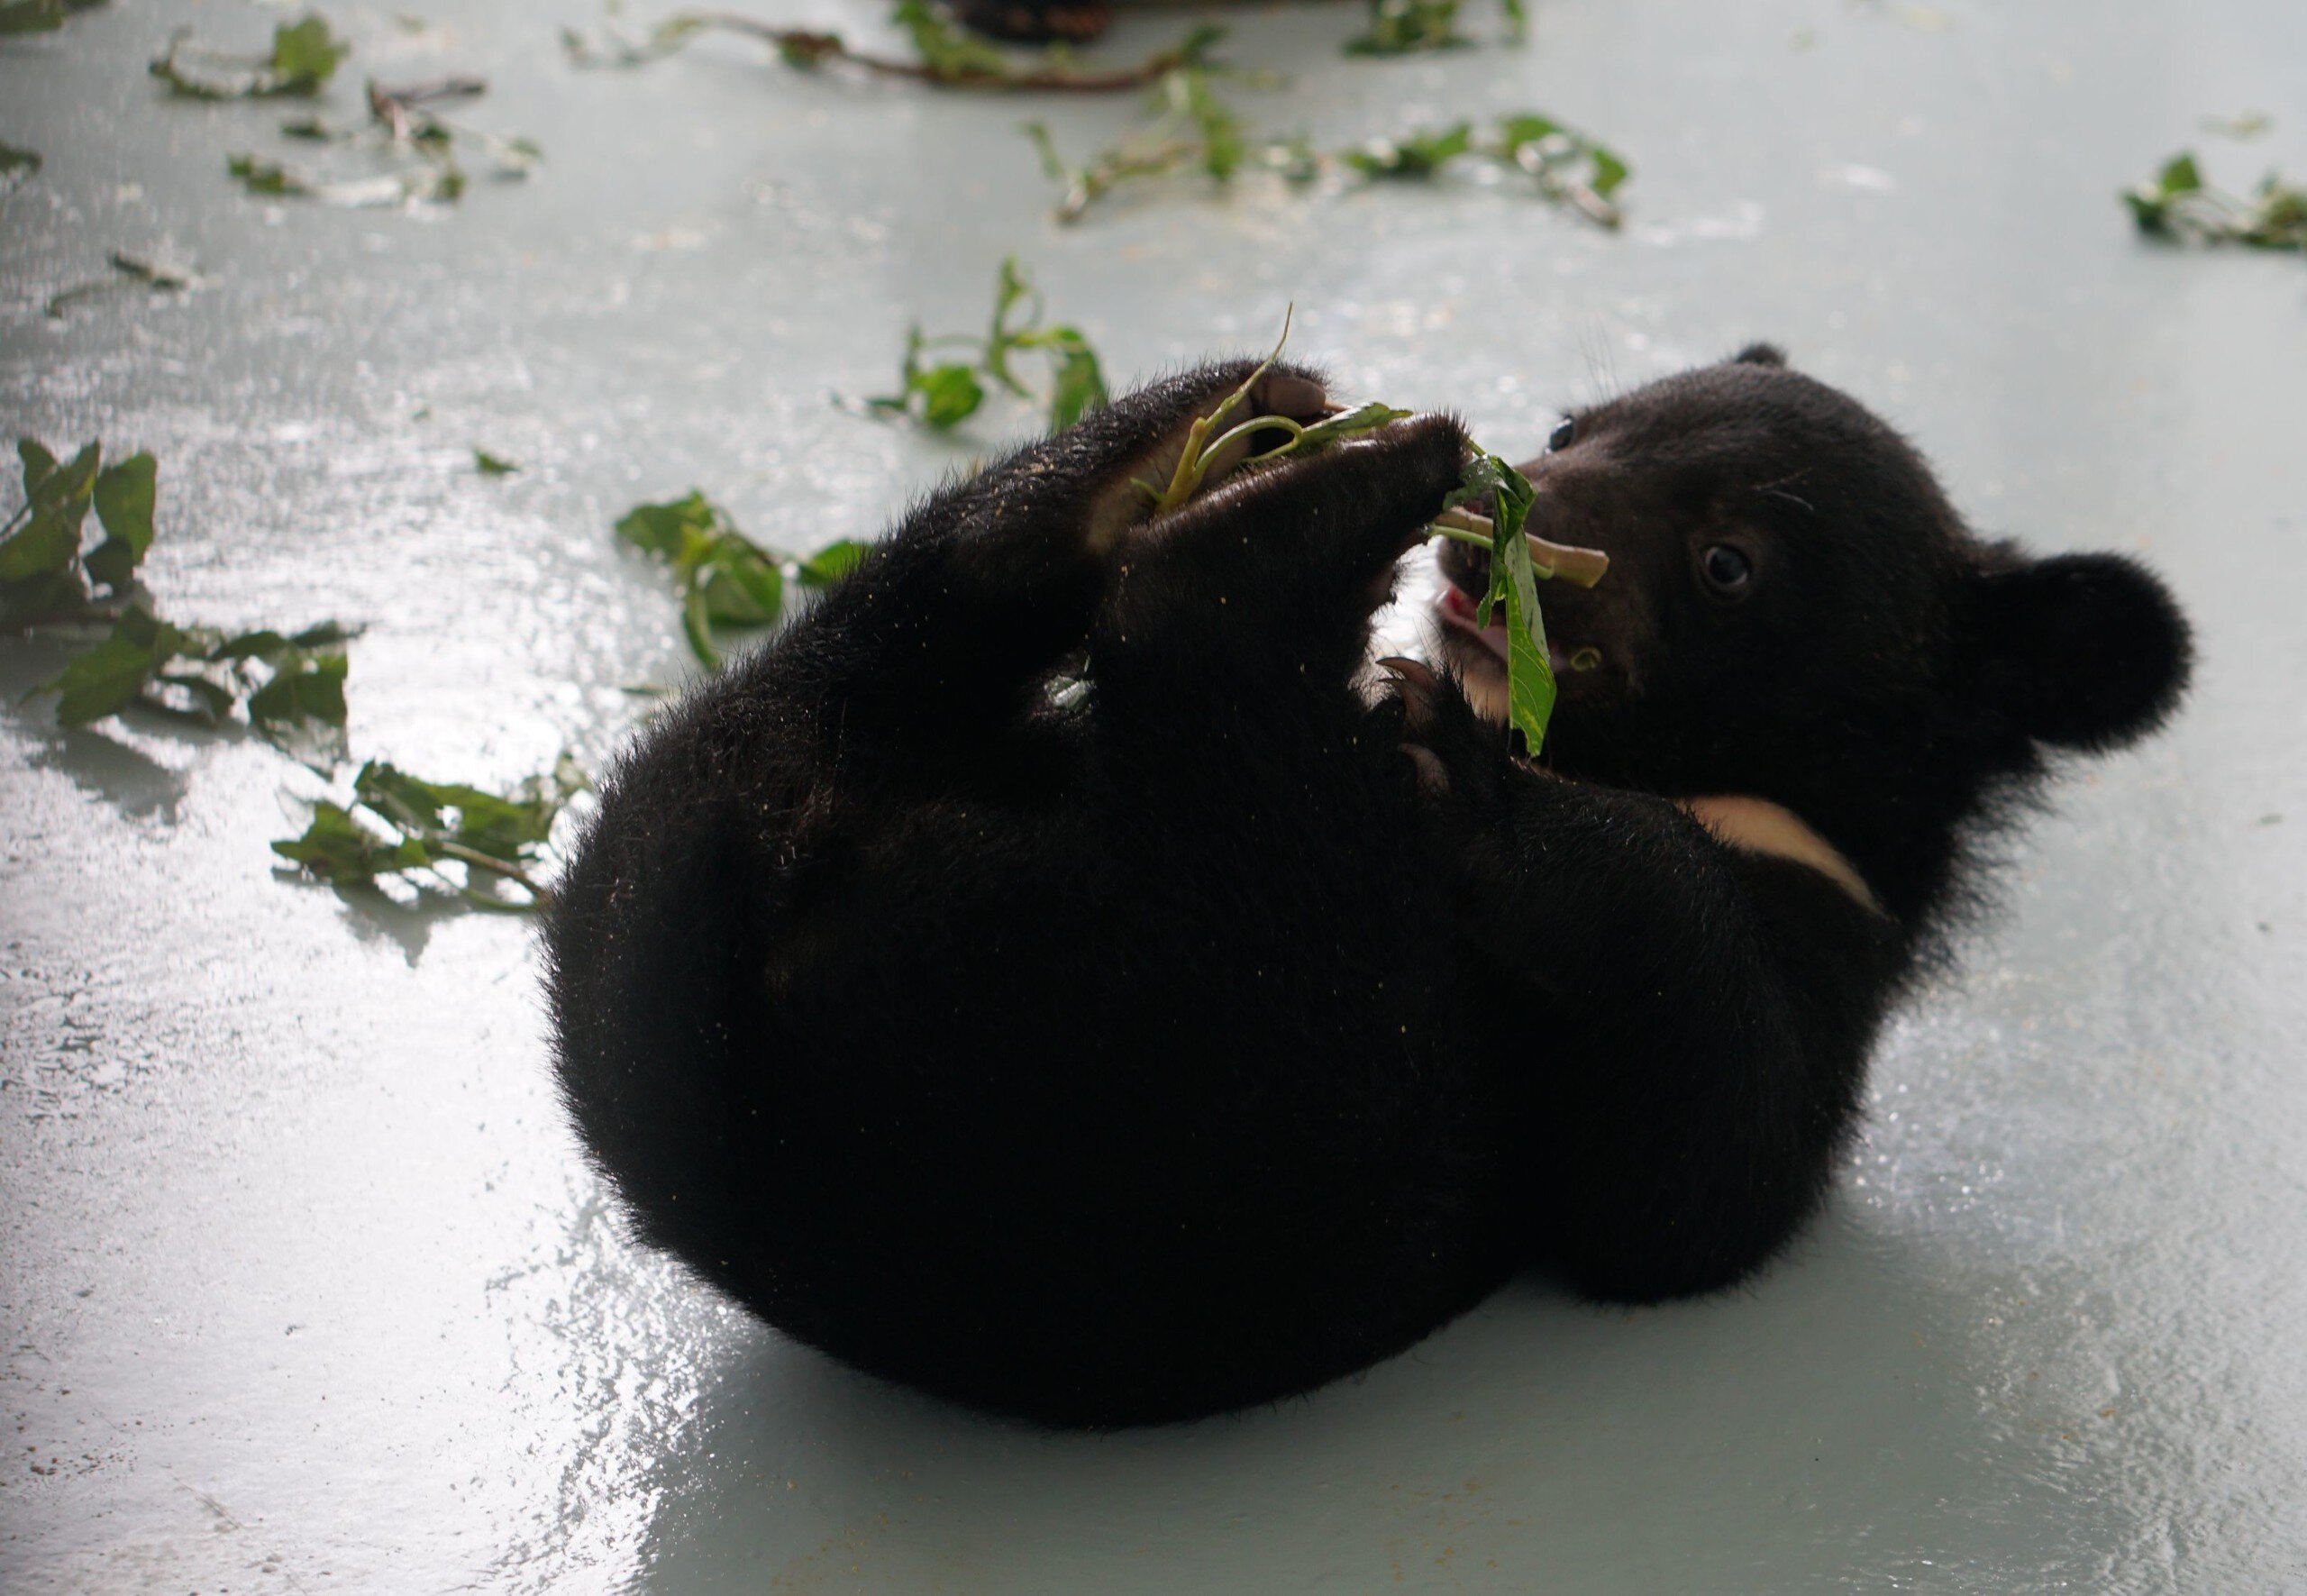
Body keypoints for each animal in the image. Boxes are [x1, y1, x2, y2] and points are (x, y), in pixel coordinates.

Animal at [543, 347, 2192, 1428]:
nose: (1506, 505)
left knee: (1177, 679)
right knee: (912, 620)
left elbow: (1692, 1165)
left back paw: (1284, 523)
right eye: (1580, 424)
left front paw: (1456, 766)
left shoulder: (1812, 928)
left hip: (1216, 1092)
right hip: (747, 793)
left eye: (1729, 563)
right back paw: (1197, 439)